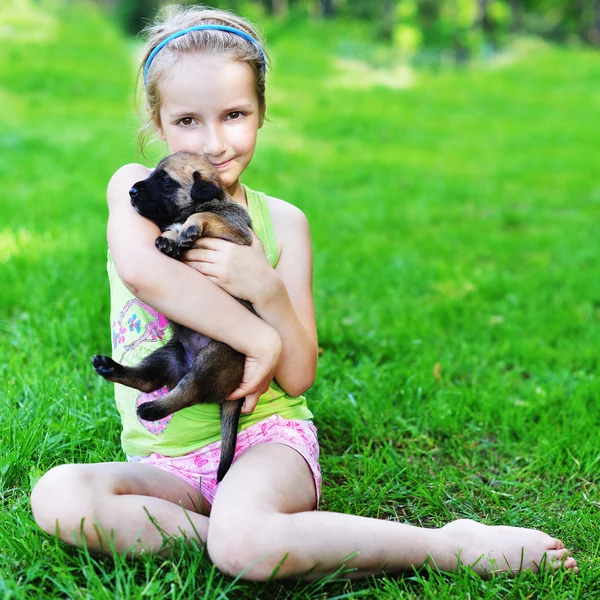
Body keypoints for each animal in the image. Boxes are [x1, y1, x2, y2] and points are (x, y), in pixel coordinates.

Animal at [94, 151, 255, 482]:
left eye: (165, 180)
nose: (131, 191)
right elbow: (171, 231)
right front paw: (169, 239)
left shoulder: (236, 233)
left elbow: (205, 219)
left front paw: (188, 229)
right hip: (168, 355)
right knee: (147, 381)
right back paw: (110, 368)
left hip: (217, 355)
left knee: (191, 390)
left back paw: (152, 410)